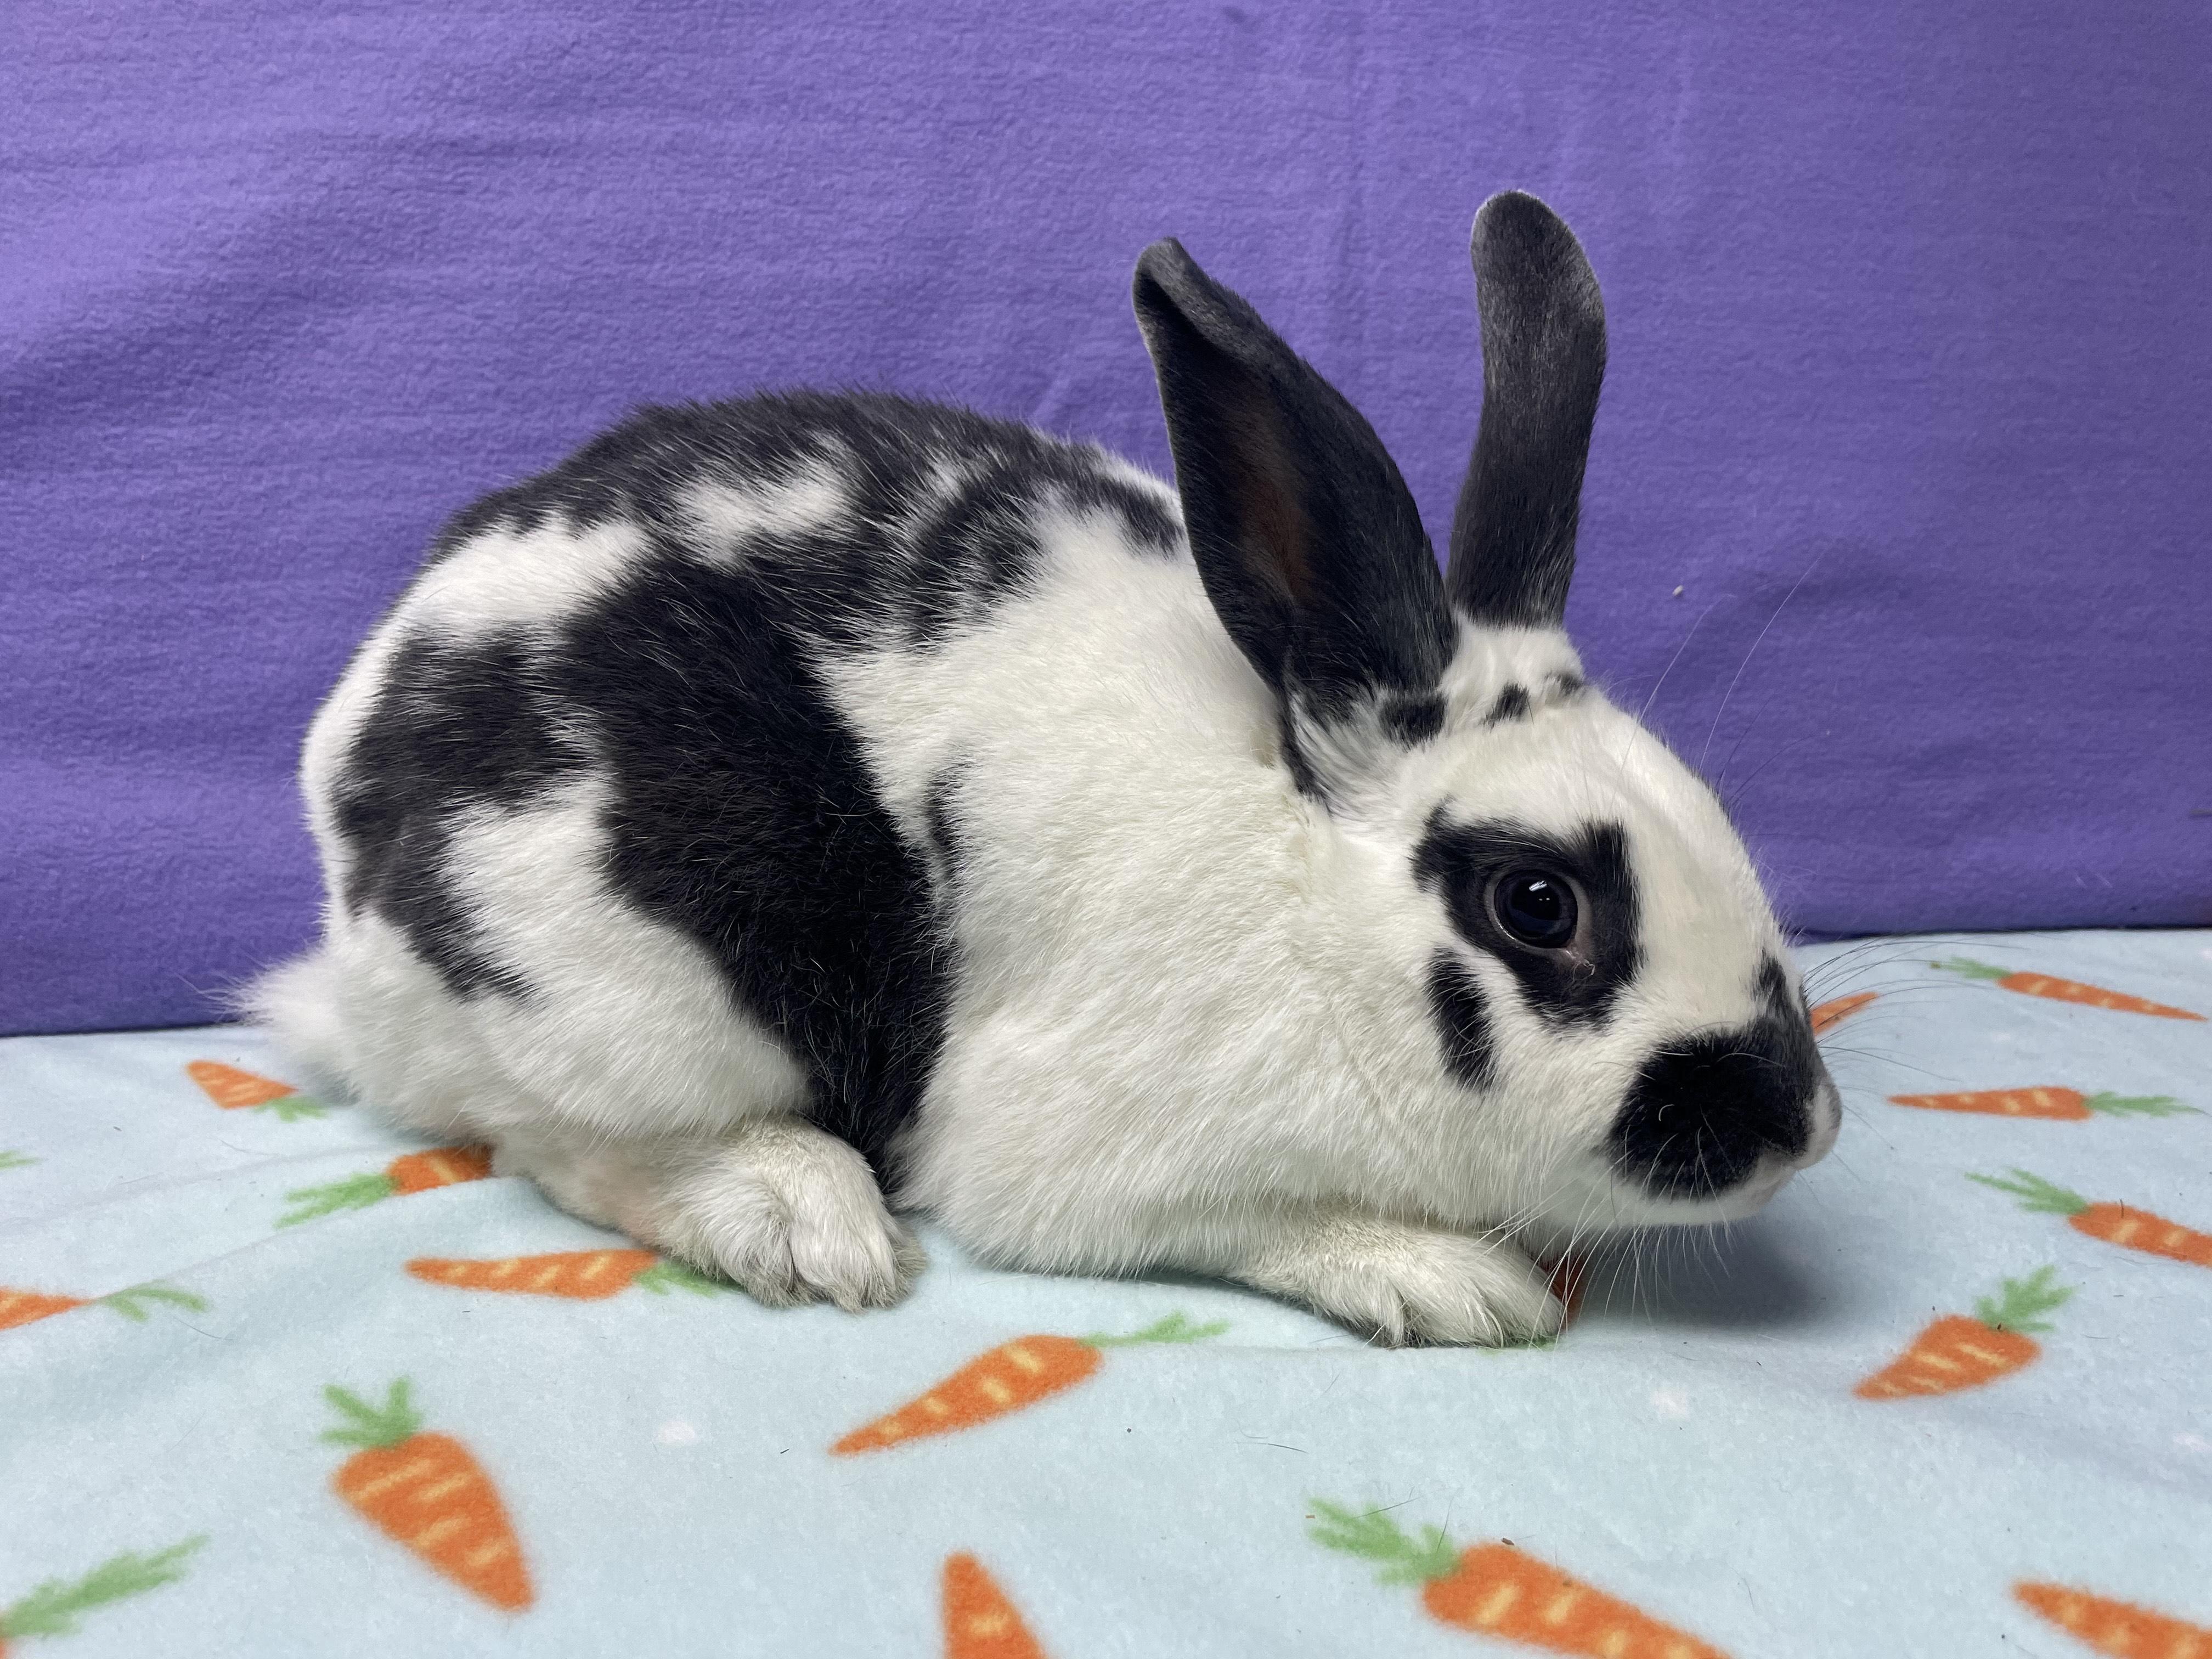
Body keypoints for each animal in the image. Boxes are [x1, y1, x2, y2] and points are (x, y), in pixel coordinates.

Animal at [252, 190, 1839, 1345]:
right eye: (1537, 905)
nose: (1805, 1126)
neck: (1308, 904)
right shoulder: (1091, 1157)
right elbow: (1251, 1221)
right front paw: (1451, 1282)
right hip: (623, 994)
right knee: (545, 1136)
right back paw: (810, 1222)